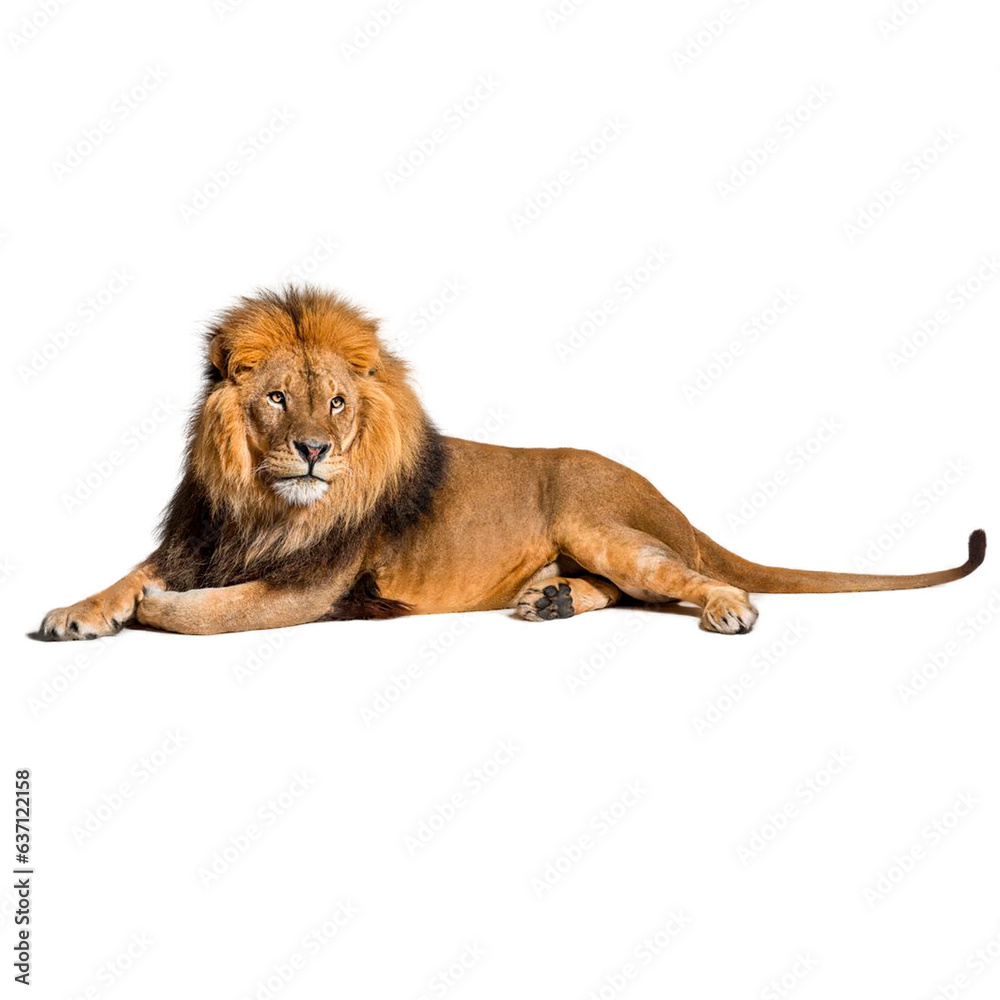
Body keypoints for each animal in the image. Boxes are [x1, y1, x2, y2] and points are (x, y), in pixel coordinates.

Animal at [37, 287, 986, 640]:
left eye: (335, 403)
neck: (261, 503)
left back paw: (726, 607)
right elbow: (129, 576)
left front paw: (154, 611)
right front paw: (75, 613)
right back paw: (551, 599)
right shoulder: (198, 538)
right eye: (276, 398)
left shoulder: (312, 586)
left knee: (680, 577)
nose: (313, 449)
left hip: (598, 522)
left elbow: (206, 611)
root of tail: (667, 496)